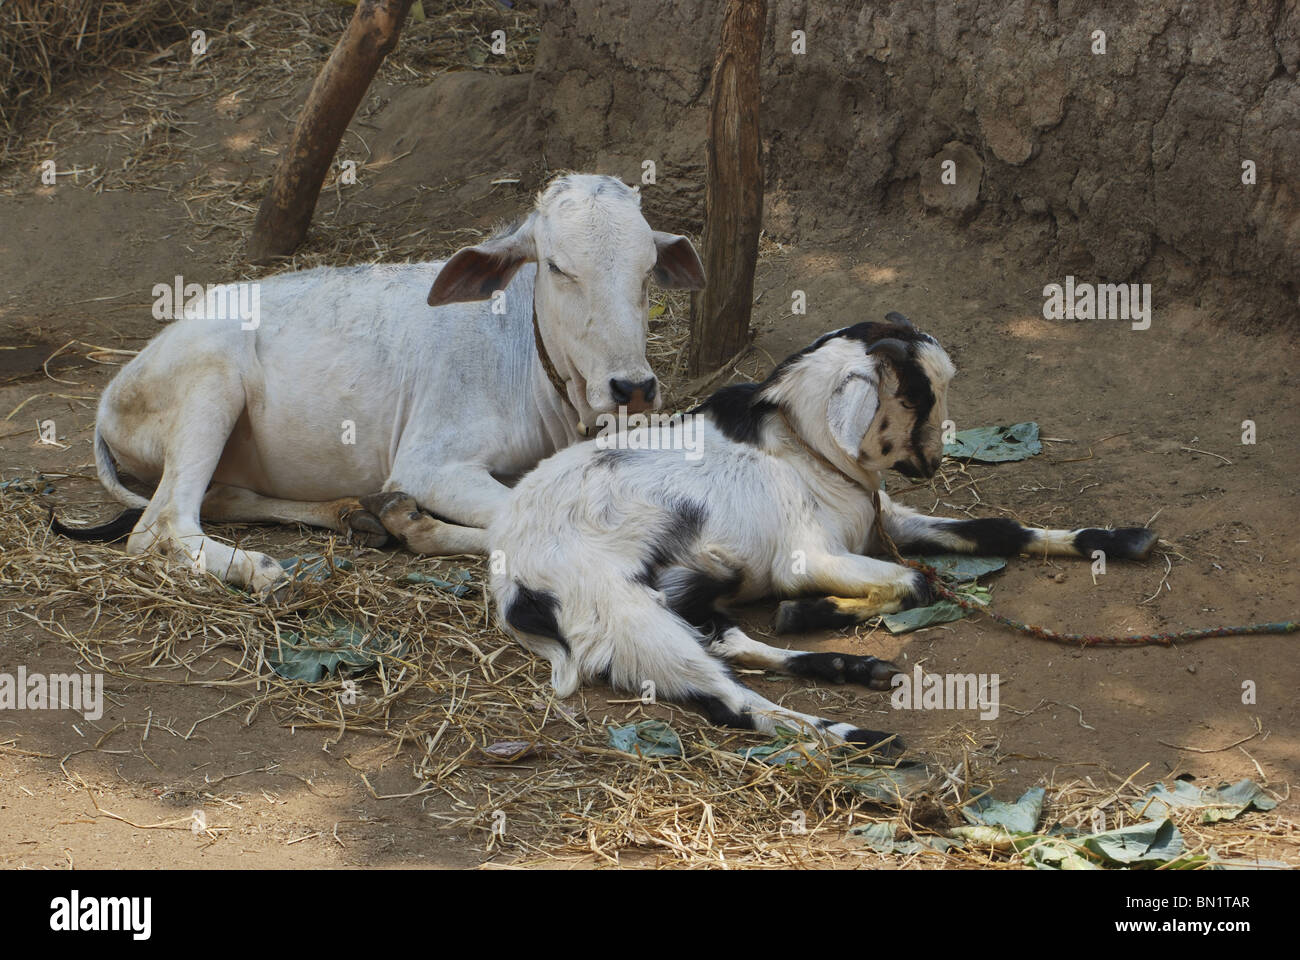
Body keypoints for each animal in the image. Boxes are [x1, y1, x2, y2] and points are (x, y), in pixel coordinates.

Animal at [50, 174, 705, 592]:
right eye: (558, 266)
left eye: (649, 269)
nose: (632, 387)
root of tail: (114, 390)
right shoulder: (428, 461)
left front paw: (404, 519)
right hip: (212, 381)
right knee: (159, 526)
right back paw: (261, 568)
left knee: (223, 497)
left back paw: (358, 513)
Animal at [488, 317, 1156, 749]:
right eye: (916, 396)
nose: (935, 463)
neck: (806, 450)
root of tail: (511, 580)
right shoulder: (810, 555)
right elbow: (915, 583)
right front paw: (810, 611)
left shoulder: (885, 520)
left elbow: (996, 529)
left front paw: (1121, 541)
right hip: (621, 609)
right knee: (728, 698)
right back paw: (860, 735)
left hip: (685, 583)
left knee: (729, 642)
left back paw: (852, 669)